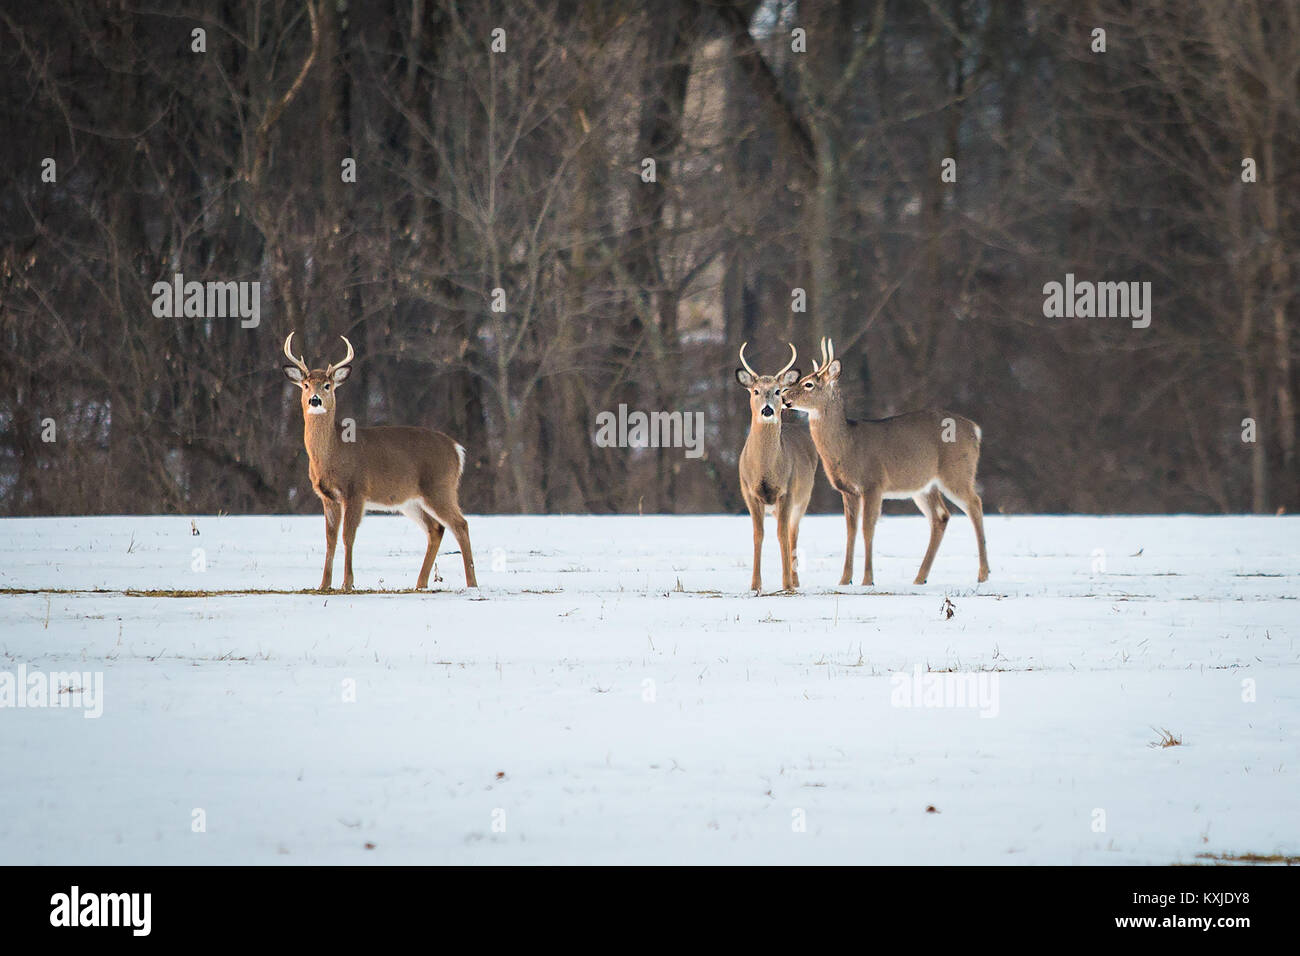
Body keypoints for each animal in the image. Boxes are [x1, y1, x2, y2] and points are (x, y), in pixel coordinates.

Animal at [282, 332, 477, 591]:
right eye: (306, 385)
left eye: (327, 385)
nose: (315, 400)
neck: (333, 451)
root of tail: (457, 450)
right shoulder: (327, 496)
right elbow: (330, 539)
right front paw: (323, 584)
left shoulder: (356, 490)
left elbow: (348, 536)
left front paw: (347, 583)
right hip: (410, 500)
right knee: (436, 529)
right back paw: (420, 583)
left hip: (440, 487)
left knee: (460, 524)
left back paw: (471, 583)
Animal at [735, 342, 819, 592]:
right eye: (755, 391)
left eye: (778, 391)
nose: (767, 410)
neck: (765, 470)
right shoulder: (750, 493)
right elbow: (758, 535)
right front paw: (755, 584)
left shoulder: (787, 491)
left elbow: (782, 536)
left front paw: (787, 583)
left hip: (803, 498)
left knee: (793, 533)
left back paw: (796, 579)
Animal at [783, 338, 989, 587]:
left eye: (809, 384)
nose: (784, 398)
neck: (848, 445)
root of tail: (975, 429)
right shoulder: (848, 490)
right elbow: (851, 530)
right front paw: (845, 579)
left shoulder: (873, 483)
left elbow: (867, 528)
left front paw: (867, 579)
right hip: (924, 486)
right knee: (941, 516)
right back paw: (920, 578)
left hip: (957, 472)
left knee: (975, 504)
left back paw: (983, 574)